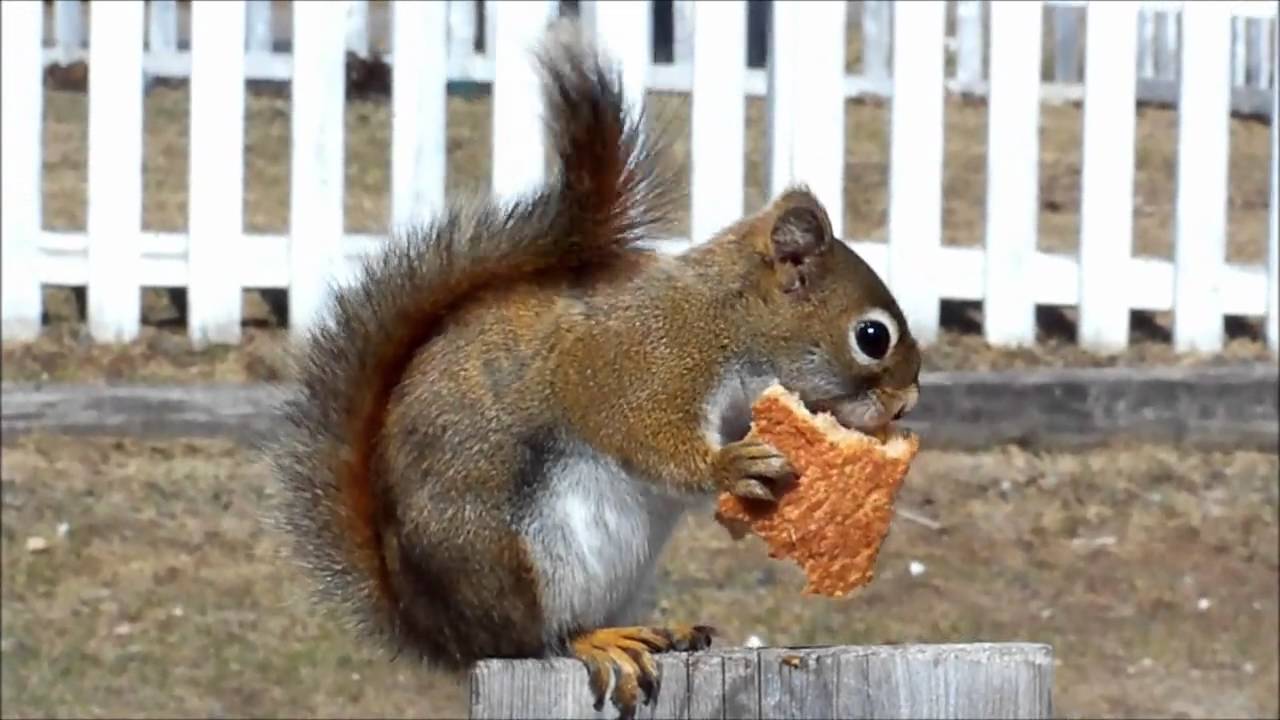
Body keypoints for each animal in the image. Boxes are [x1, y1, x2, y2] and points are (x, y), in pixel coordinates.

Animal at [268, 17, 921, 720]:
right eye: (873, 336)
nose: (908, 401)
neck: (724, 321)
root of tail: (444, 635)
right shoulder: (644, 362)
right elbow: (643, 436)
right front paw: (732, 465)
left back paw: (662, 630)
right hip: (521, 560)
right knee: (538, 638)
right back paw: (595, 640)